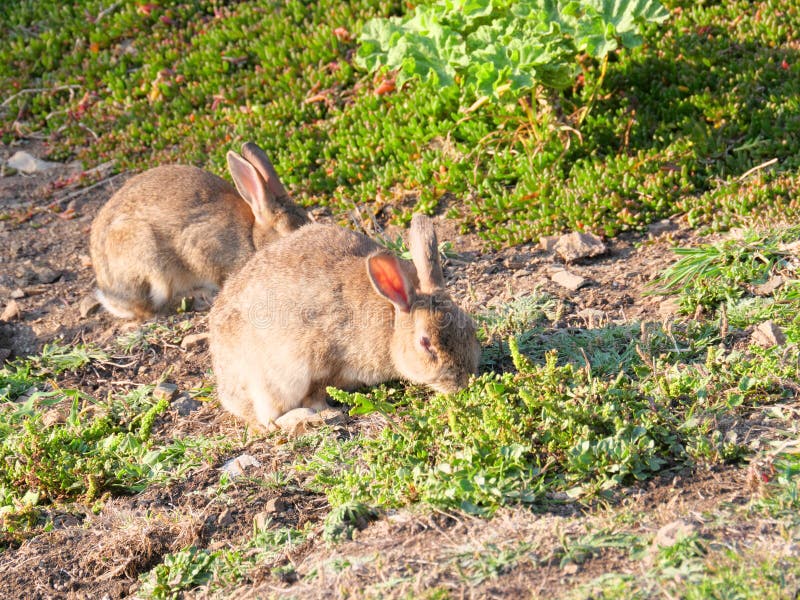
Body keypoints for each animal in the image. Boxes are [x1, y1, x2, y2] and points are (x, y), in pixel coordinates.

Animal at [89, 142, 309, 319]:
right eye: (288, 232)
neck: (252, 238)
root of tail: (110, 291)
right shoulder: (203, 249)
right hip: (147, 258)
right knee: (150, 309)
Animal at [208, 214, 481, 431]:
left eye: (470, 328)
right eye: (425, 344)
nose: (463, 383)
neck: (392, 324)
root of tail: (227, 390)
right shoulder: (318, 362)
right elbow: (315, 394)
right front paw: (328, 412)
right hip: (266, 384)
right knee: (268, 421)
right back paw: (306, 418)